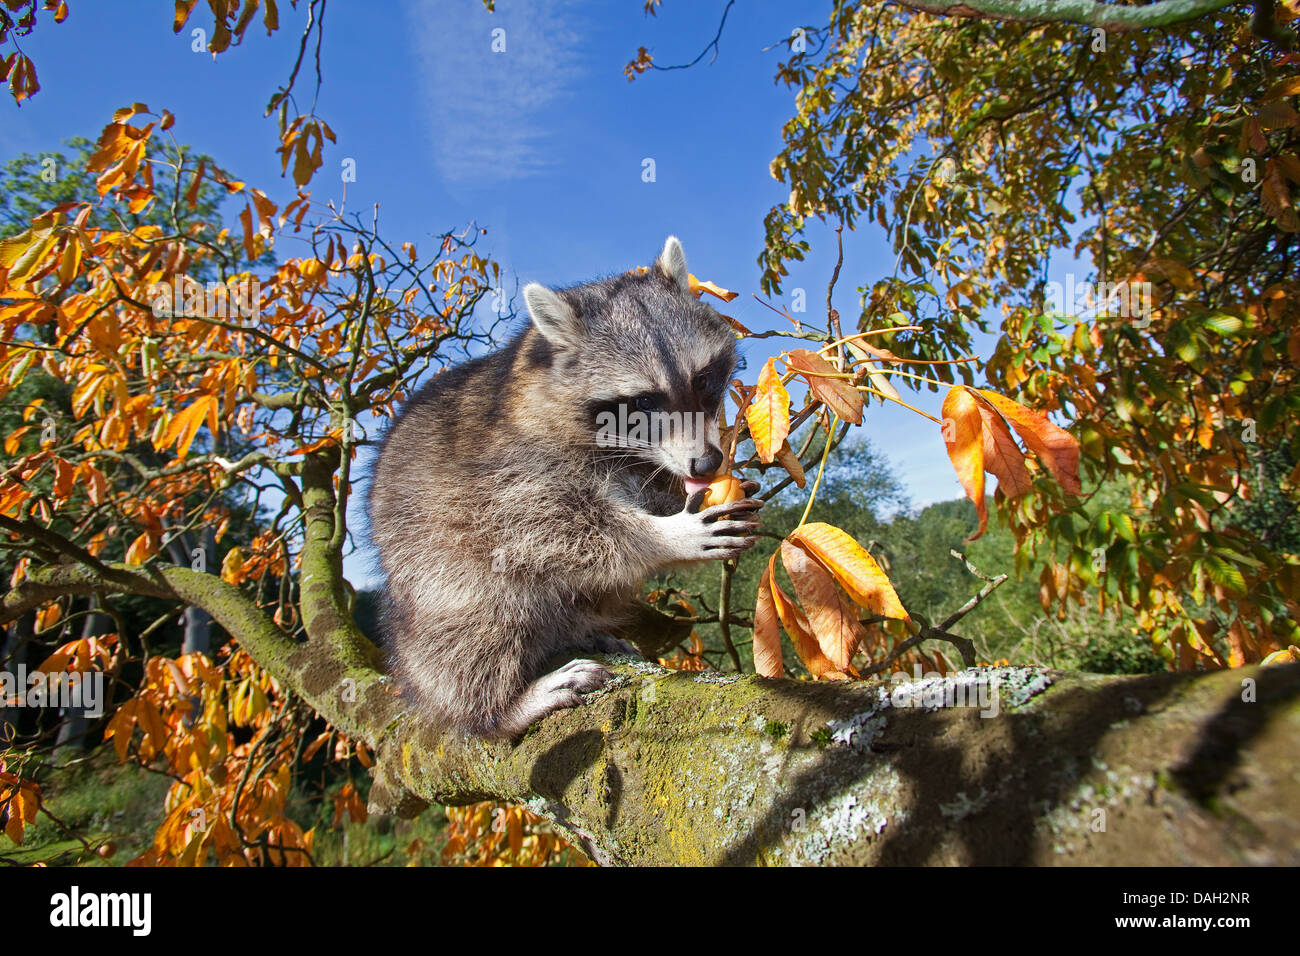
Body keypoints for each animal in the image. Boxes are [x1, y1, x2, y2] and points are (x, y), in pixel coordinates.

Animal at [368, 237, 763, 739]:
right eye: (644, 401)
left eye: (702, 379)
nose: (709, 461)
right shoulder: (508, 467)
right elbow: (544, 527)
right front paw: (663, 536)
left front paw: (679, 500)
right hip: (429, 569)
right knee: (477, 617)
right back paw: (498, 708)